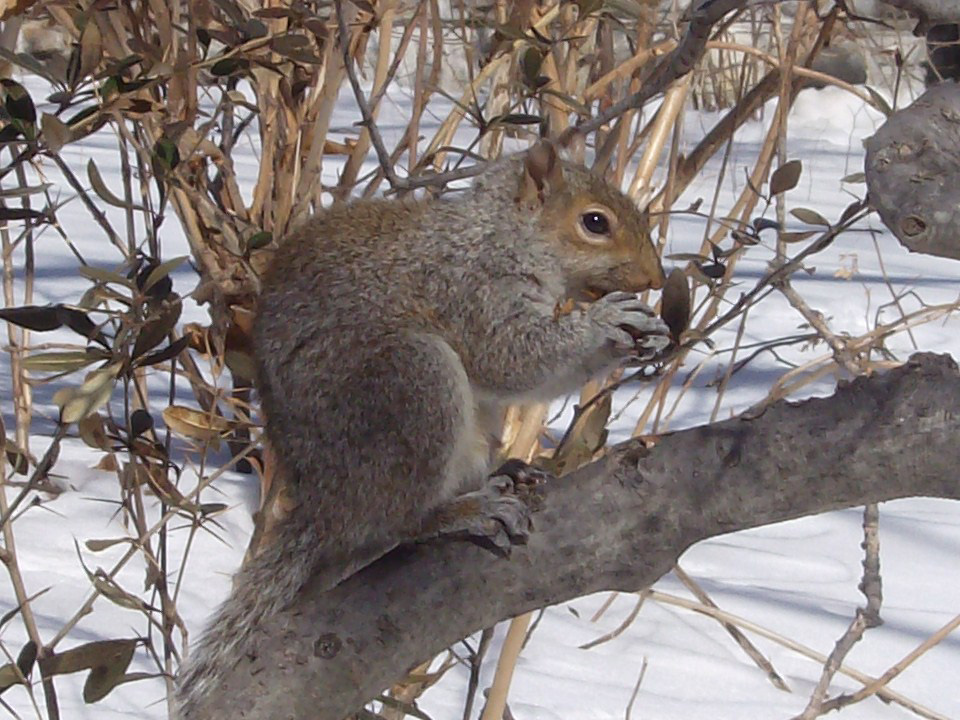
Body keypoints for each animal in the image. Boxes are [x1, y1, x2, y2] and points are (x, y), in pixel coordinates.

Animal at [176, 140, 668, 716]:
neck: (502, 236)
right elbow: (511, 358)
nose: (657, 279)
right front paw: (605, 324)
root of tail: (328, 507)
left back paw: (508, 473)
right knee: (398, 521)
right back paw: (461, 511)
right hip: (410, 387)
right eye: (595, 222)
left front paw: (650, 334)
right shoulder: (471, 291)